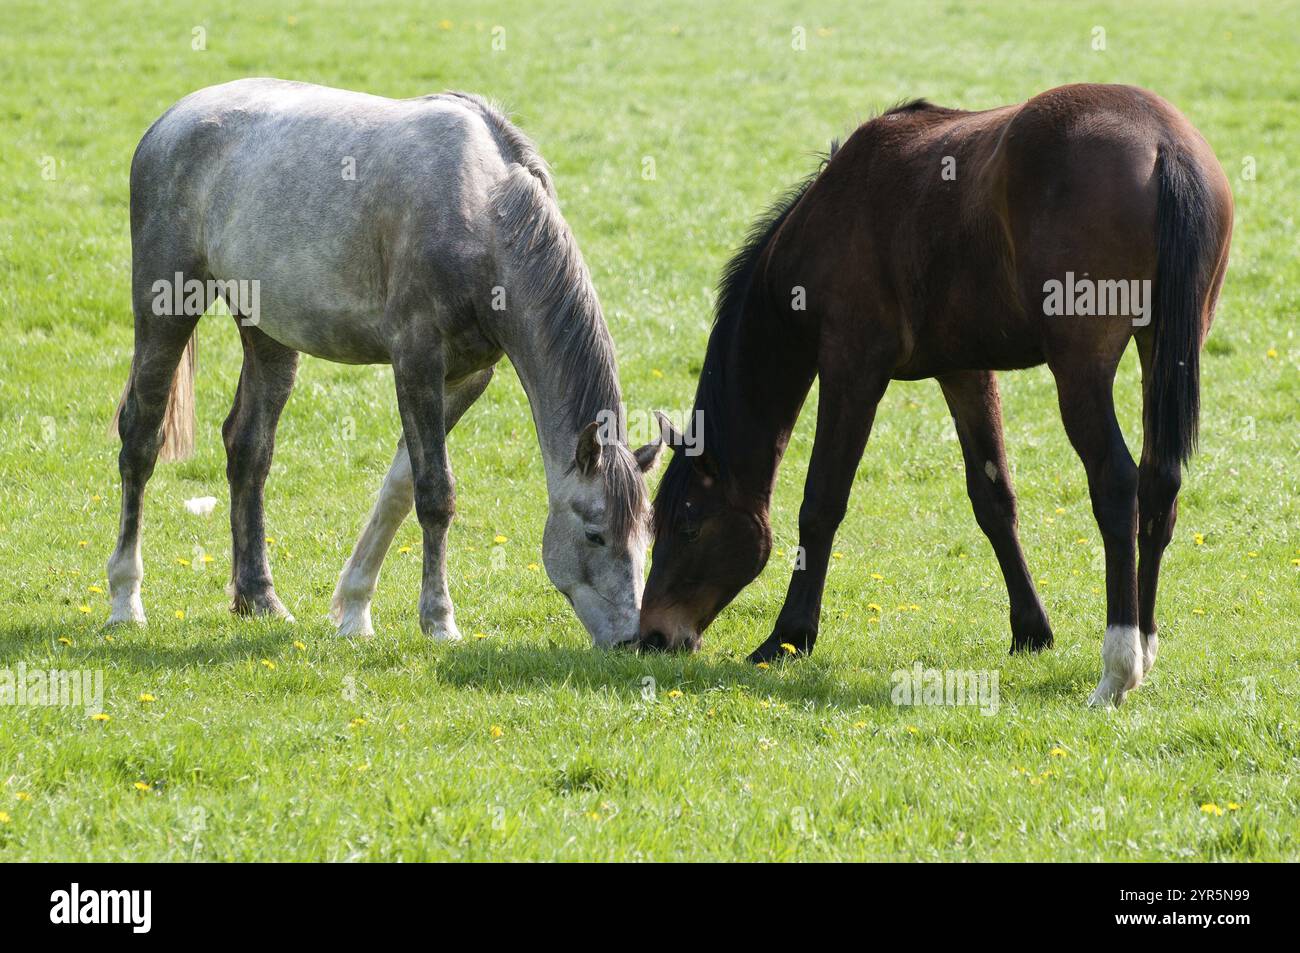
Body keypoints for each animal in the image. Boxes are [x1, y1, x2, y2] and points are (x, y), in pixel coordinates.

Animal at [107, 78, 662, 647]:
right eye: (595, 534)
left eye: (646, 534)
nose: (633, 639)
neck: (481, 211)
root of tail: (170, 121)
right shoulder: (416, 361)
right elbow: (435, 494)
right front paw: (439, 620)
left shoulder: (466, 377)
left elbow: (399, 488)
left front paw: (355, 610)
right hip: (165, 308)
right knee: (141, 441)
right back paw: (126, 600)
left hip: (267, 334)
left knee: (248, 451)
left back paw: (259, 597)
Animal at [638, 84, 1233, 706]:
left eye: (687, 526)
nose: (652, 635)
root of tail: (1163, 142)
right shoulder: (965, 371)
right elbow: (993, 499)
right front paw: (1031, 630)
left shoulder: (852, 367)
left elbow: (821, 502)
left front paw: (789, 636)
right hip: (1162, 348)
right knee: (1159, 483)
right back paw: (1144, 642)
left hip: (1081, 371)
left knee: (1117, 484)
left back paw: (1117, 667)